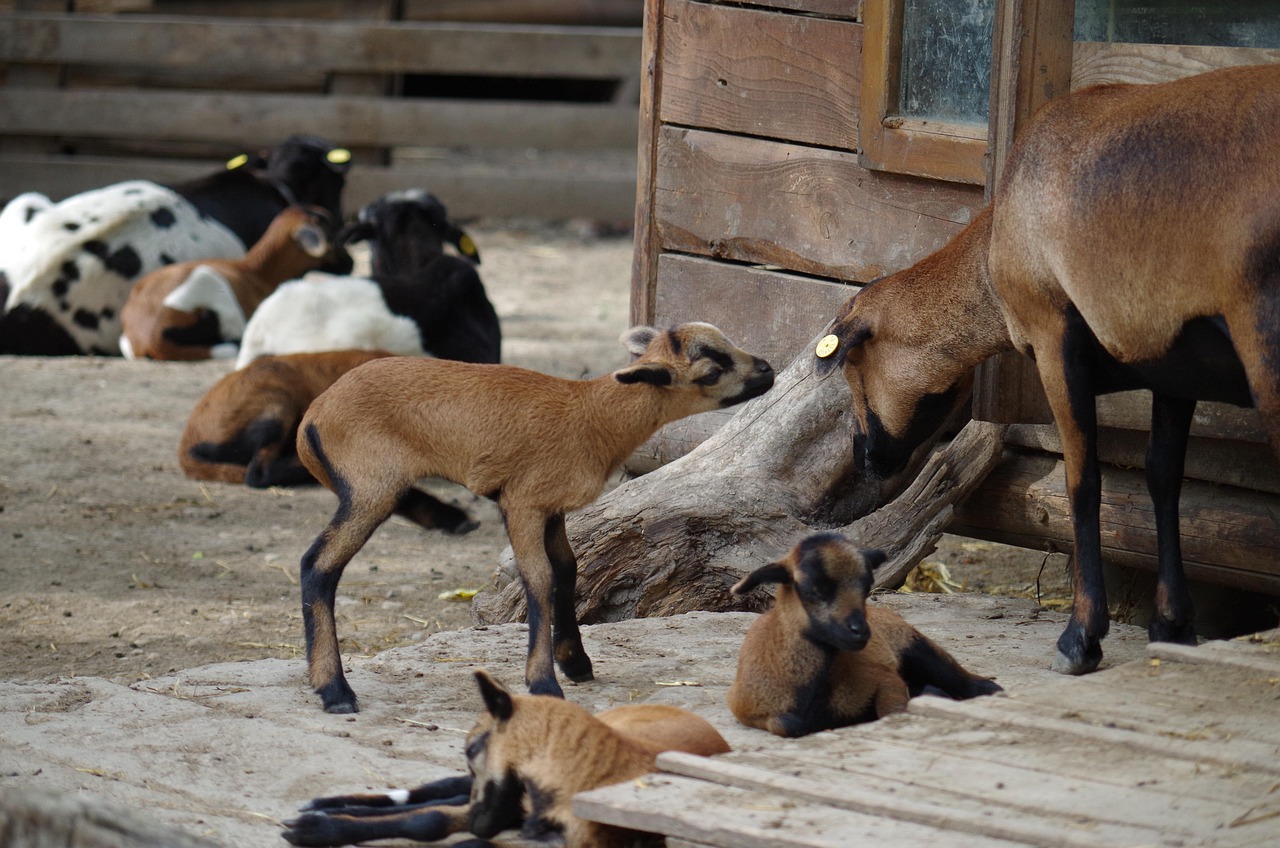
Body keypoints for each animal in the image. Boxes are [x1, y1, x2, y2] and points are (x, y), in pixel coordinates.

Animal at [282, 669, 730, 848]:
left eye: (471, 749)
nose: (482, 822)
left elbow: (437, 823)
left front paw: (318, 826)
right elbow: (431, 818)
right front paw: (317, 827)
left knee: (448, 794)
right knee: (444, 788)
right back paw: (324, 805)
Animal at [296, 322, 775, 712]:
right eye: (710, 371)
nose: (768, 370)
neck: (595, 415)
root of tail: (312, 417)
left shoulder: (552, 507)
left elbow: (567, 569)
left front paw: (575, 662)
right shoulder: (522, 502)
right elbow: (540, 579)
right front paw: (544, 683)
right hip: (370, 486)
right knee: (317, 565)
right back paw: (335, 691)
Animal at [728, 532, 1001, 737]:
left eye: (867, 584)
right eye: (811, 588)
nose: (860, 631)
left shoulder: (885, 678)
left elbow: (893, 709)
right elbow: (787, 725)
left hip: (917, 647)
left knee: (972, 683)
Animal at [813, 64, 1280, 675]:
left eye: (854, 371)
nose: (865, 457)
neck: (991, 259)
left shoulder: (1056, 339)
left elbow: (1083, 482)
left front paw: (1080, 638)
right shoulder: (1167, 360)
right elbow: (1163, 478)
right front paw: (1171, 626)